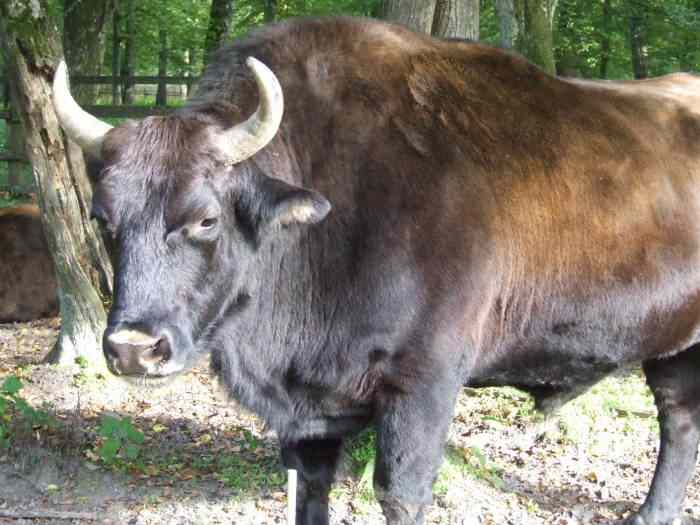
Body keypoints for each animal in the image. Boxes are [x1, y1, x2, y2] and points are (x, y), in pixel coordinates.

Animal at [51, 16, 700, 525]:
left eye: (206, 219)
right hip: (674, 351)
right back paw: (651, 515)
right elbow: (308, 492)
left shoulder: (422, 386)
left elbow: (400, 495)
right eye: (102, 215)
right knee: (679, 422)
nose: (134, 349)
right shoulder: (309, 412)